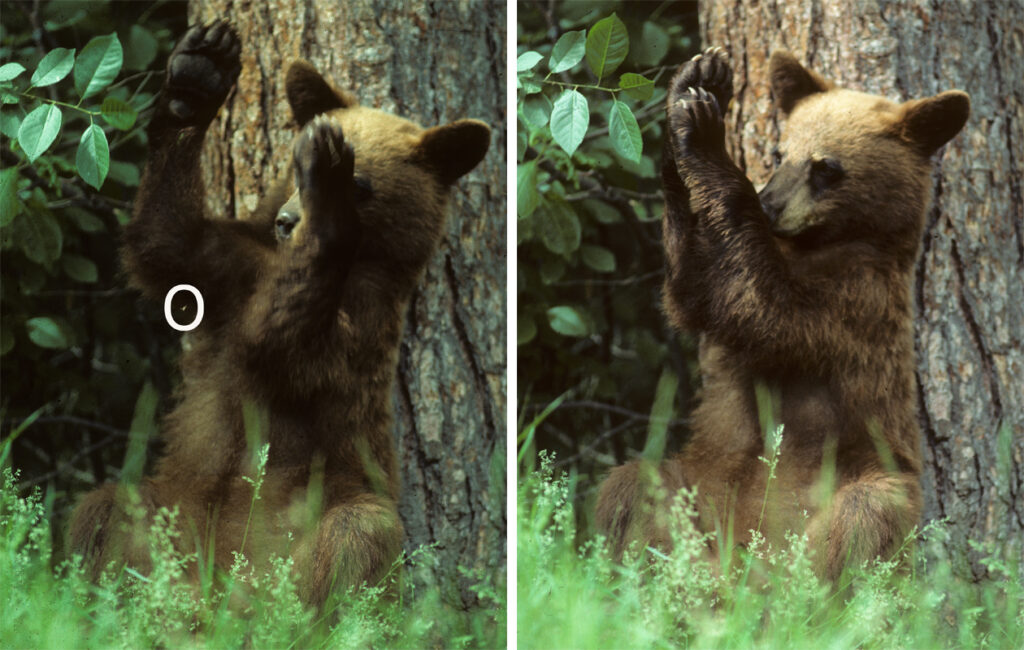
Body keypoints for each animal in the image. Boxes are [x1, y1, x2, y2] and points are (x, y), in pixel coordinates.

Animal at [67, 21, 490, 607]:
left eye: (363, 184)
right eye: (289, 167)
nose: (289, 220)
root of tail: (217, 598)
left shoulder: (367, 317)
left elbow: (284, 351)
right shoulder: (234, 272)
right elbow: (167, 243)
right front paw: (199, 75)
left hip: (314, 520)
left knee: (360, 533)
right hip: (175, 517)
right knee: (108, 510)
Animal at [596, 47, 969, 582]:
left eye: (826, 167)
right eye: (779, 153)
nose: (769, 204)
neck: (821, 242)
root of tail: (744, 572)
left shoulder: (856, 300)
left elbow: (760, 307)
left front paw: (704, 137)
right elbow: (690, 291)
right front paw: (694, 89)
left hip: (863, 484)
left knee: (863, 517)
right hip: (700, 486)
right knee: (632, 486)